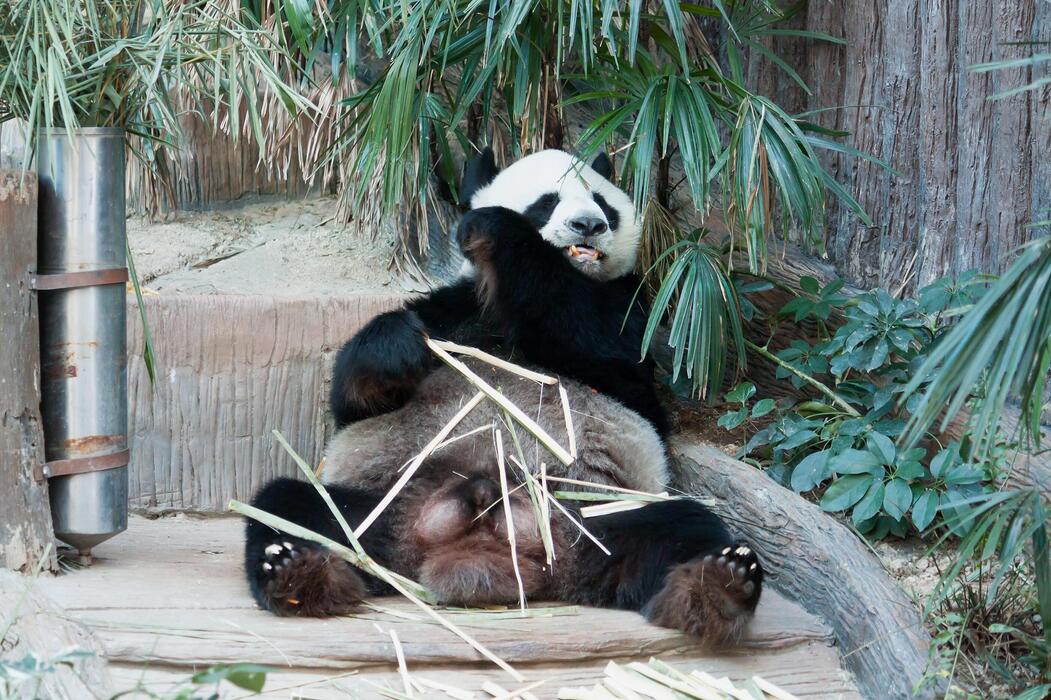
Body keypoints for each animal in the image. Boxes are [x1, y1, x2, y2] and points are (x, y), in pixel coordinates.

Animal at [244, 149, 764, 647]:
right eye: (548, 202)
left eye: (603, 203)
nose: (589, 225)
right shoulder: (454, 307)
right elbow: (352, 404)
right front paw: (396, 346)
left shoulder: (636, 309)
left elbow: (606, 346)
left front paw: (496, 230)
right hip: (378, 510)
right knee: (290, 509)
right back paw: (296, 572)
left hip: (593, 518)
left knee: (682, 528)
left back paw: (716, 589)